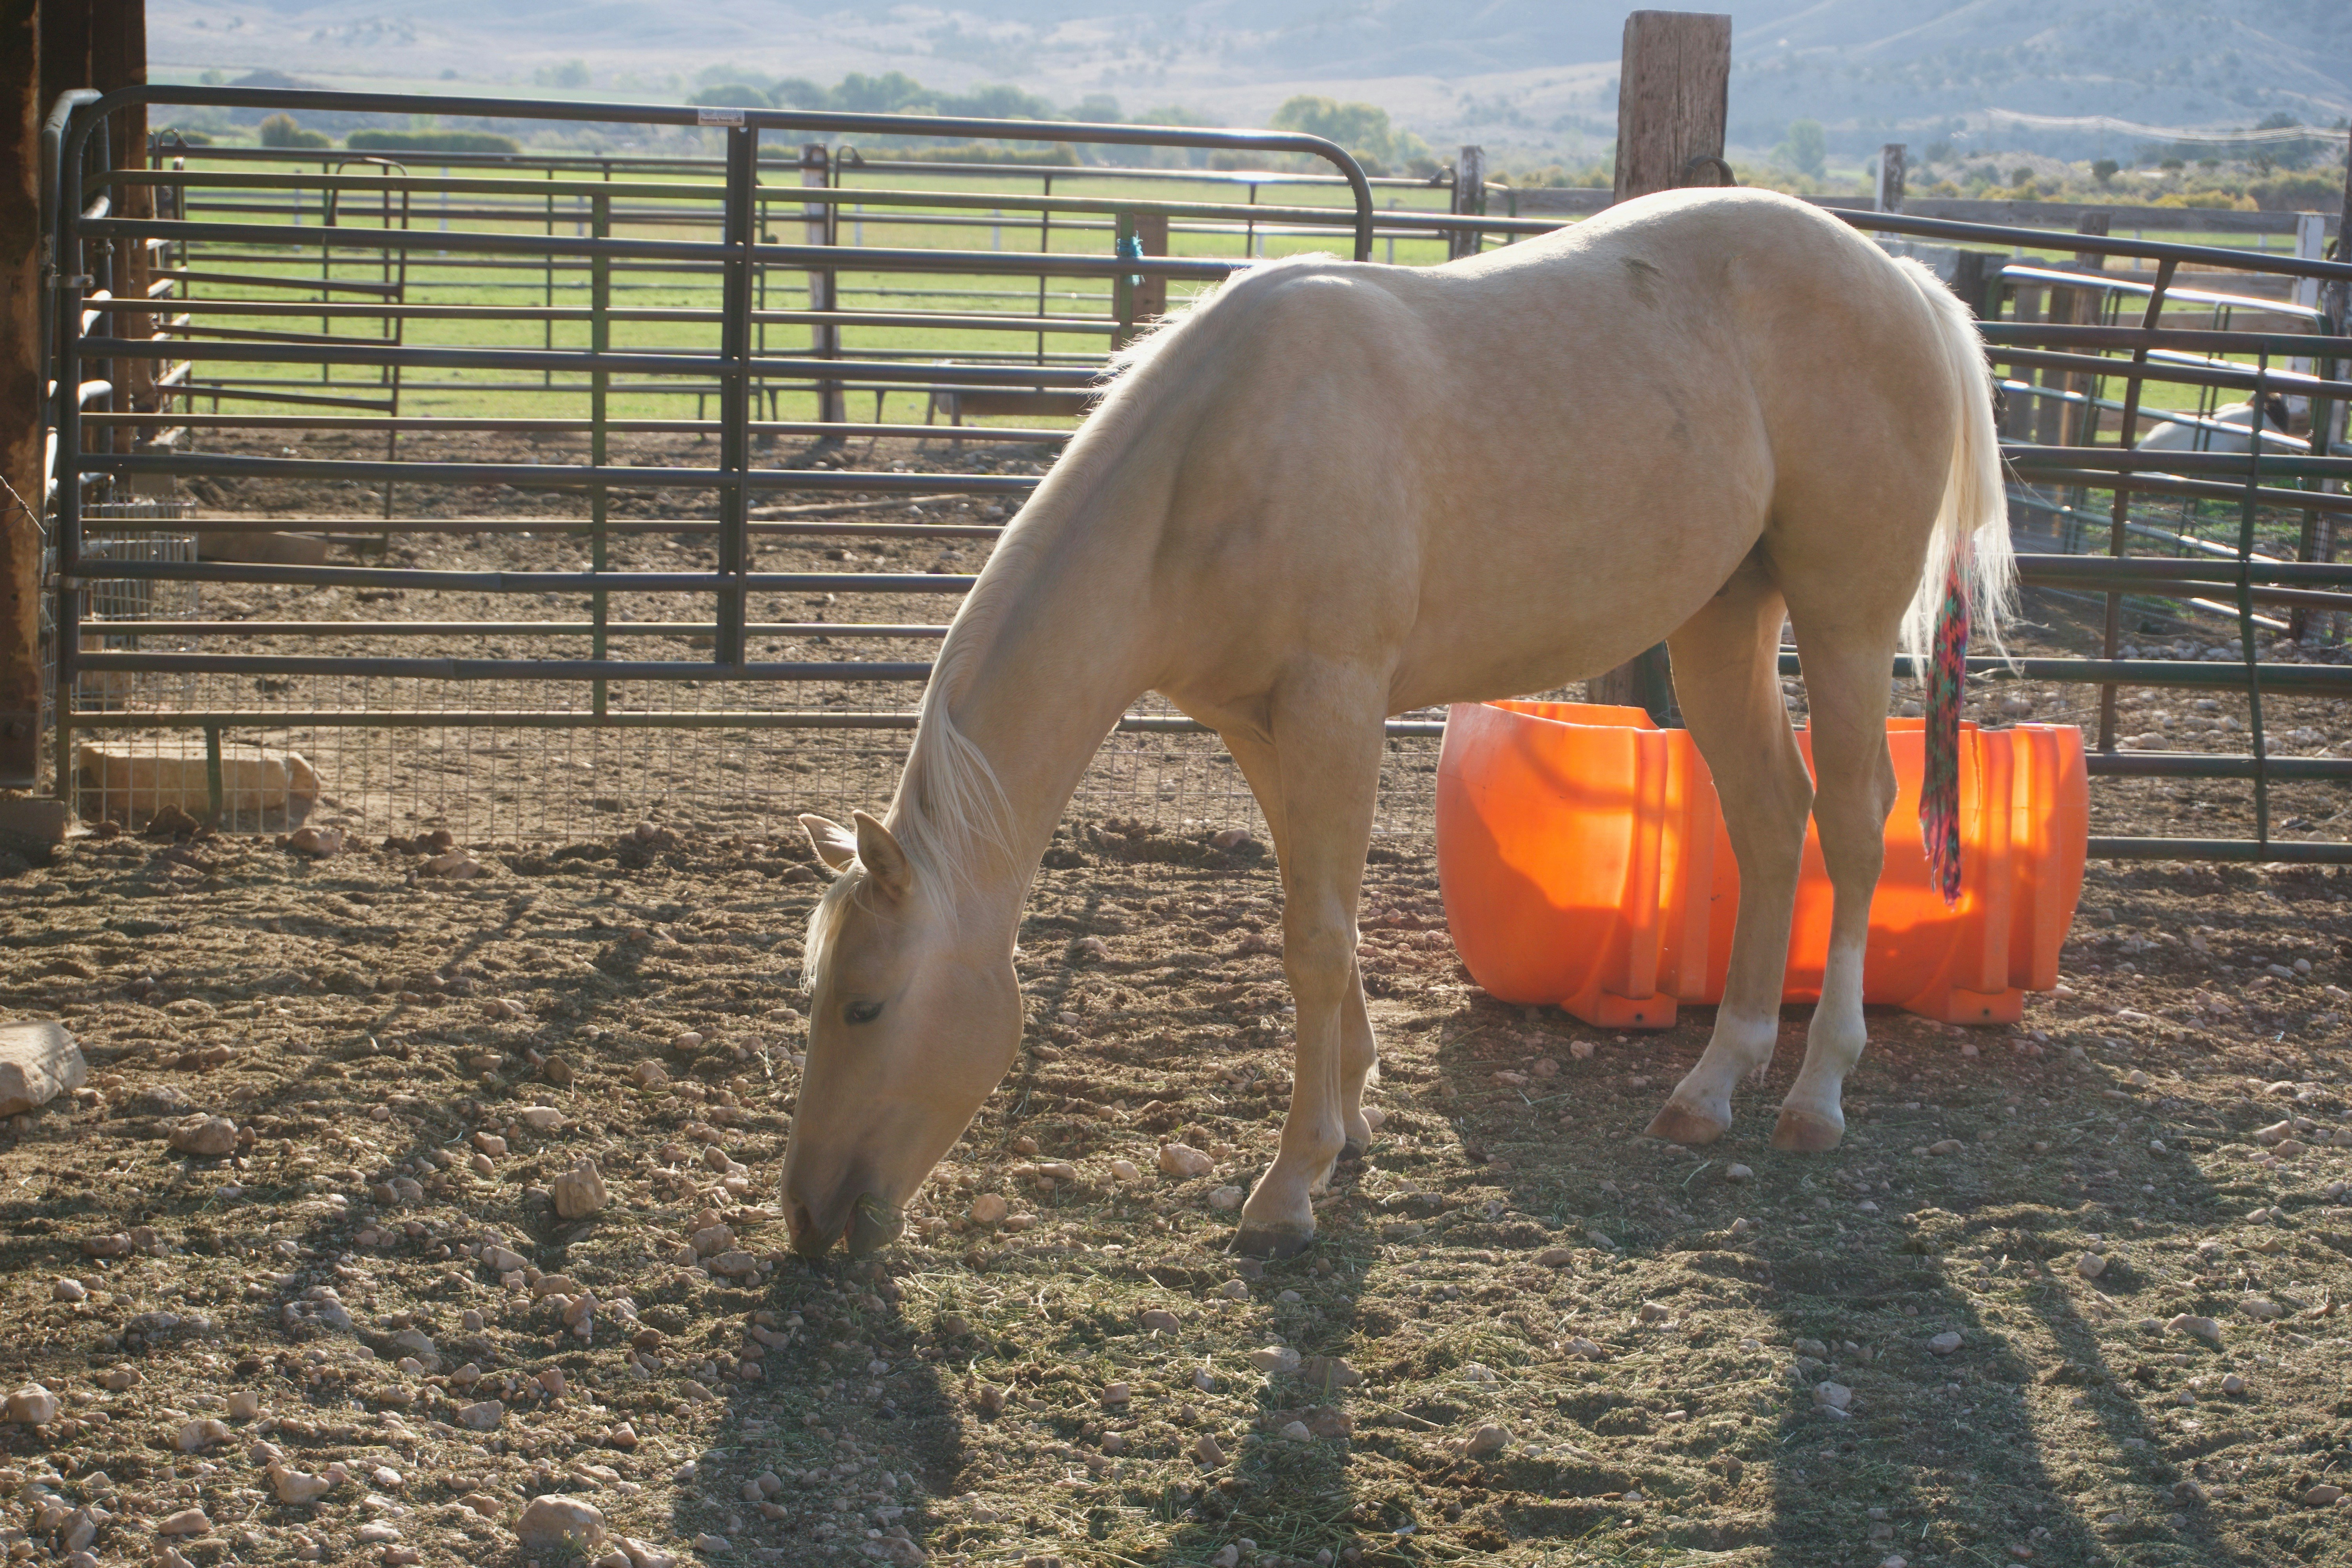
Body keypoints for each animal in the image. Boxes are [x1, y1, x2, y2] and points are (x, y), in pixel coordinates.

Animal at [783, 186, 2014, 1261]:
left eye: (866, 1006)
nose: (808, 1219)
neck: (1211, 460)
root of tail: (1901, 279)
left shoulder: (1336, 706)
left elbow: (1318, 942)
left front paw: (1289, 1186)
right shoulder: (1261, 726)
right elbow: (1318, 916)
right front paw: (1350, 1123)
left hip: (1844, 619)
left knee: (1852, 823)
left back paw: (1816, 1093)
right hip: (1722, 621)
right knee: (1769, 818)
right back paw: (1712, 1086)